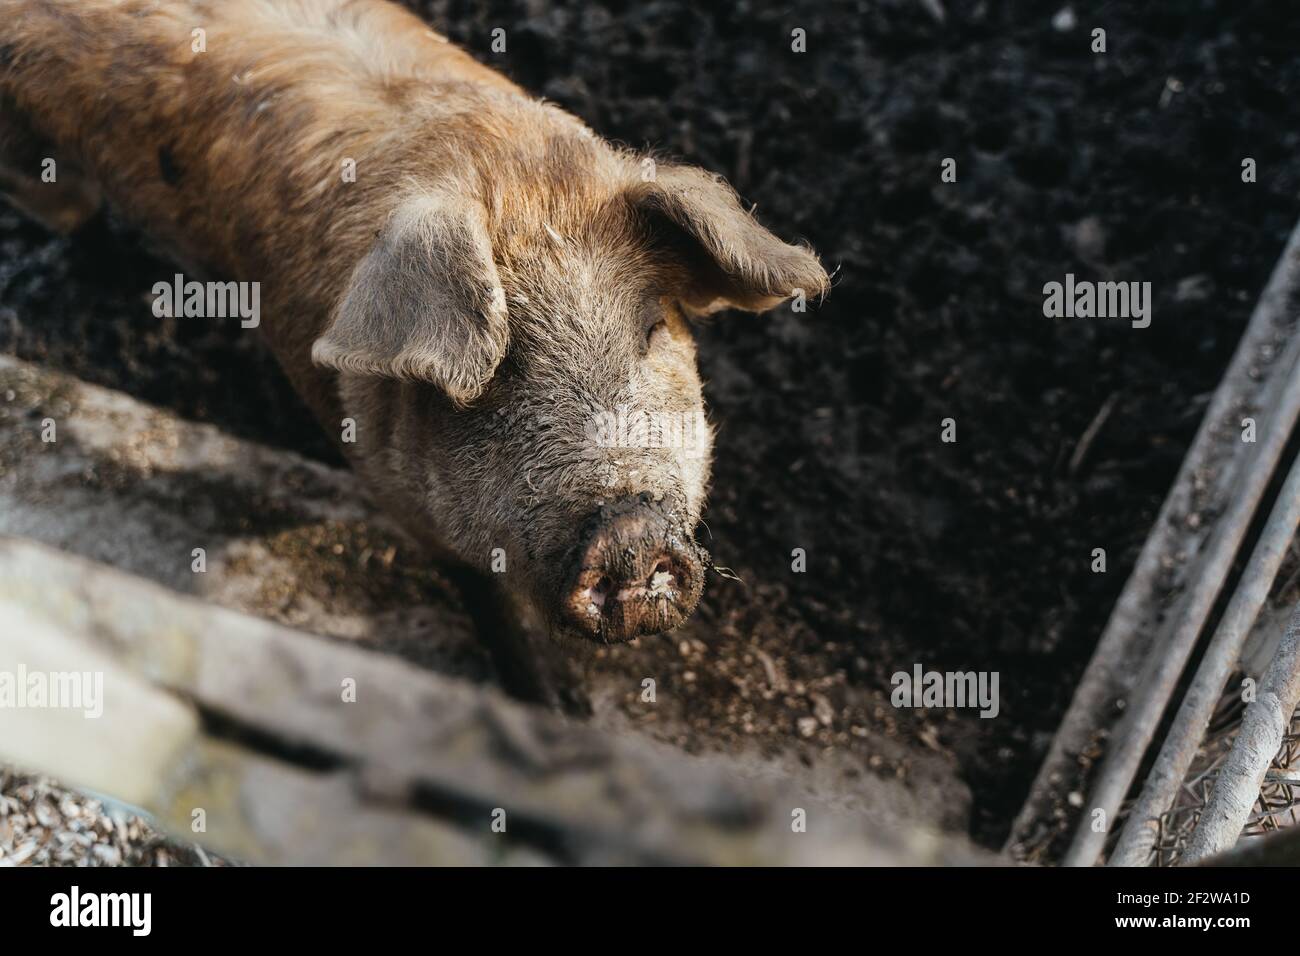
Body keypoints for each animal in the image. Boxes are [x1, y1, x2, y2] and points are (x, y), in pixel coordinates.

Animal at [0, 0, 828, 699]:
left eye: (652, 328)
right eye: (500, 366)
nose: (629, 535)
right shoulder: (389, 488)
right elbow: (484, 591)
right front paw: (559, 708)